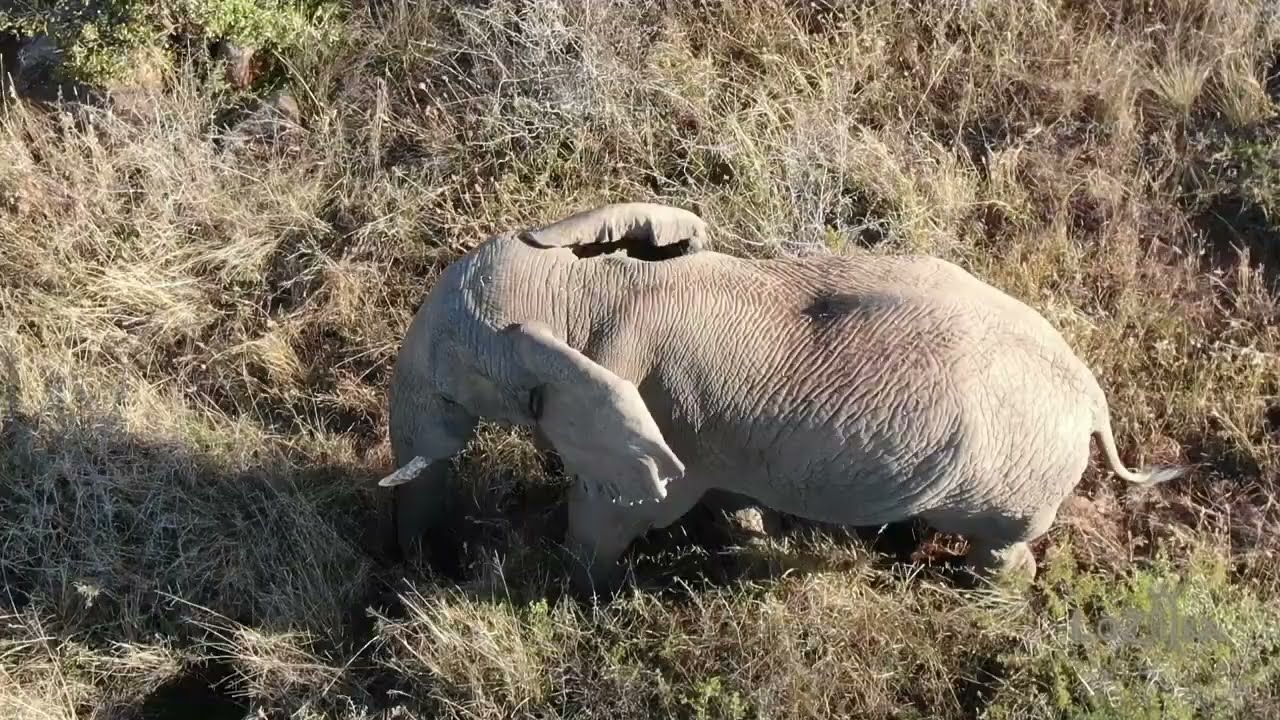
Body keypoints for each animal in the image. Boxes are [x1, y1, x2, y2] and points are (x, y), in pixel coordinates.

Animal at [379, 202, 1188, 593]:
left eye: (452, 374)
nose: (429, 568)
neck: (592, 287)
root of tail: (1093, 399)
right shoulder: (704, 422)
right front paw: (749, 536)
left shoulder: (658, 407)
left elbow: (618, 513)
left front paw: (581, 592)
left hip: (1010, 482)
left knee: (1001, 548)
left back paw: (978, 603)